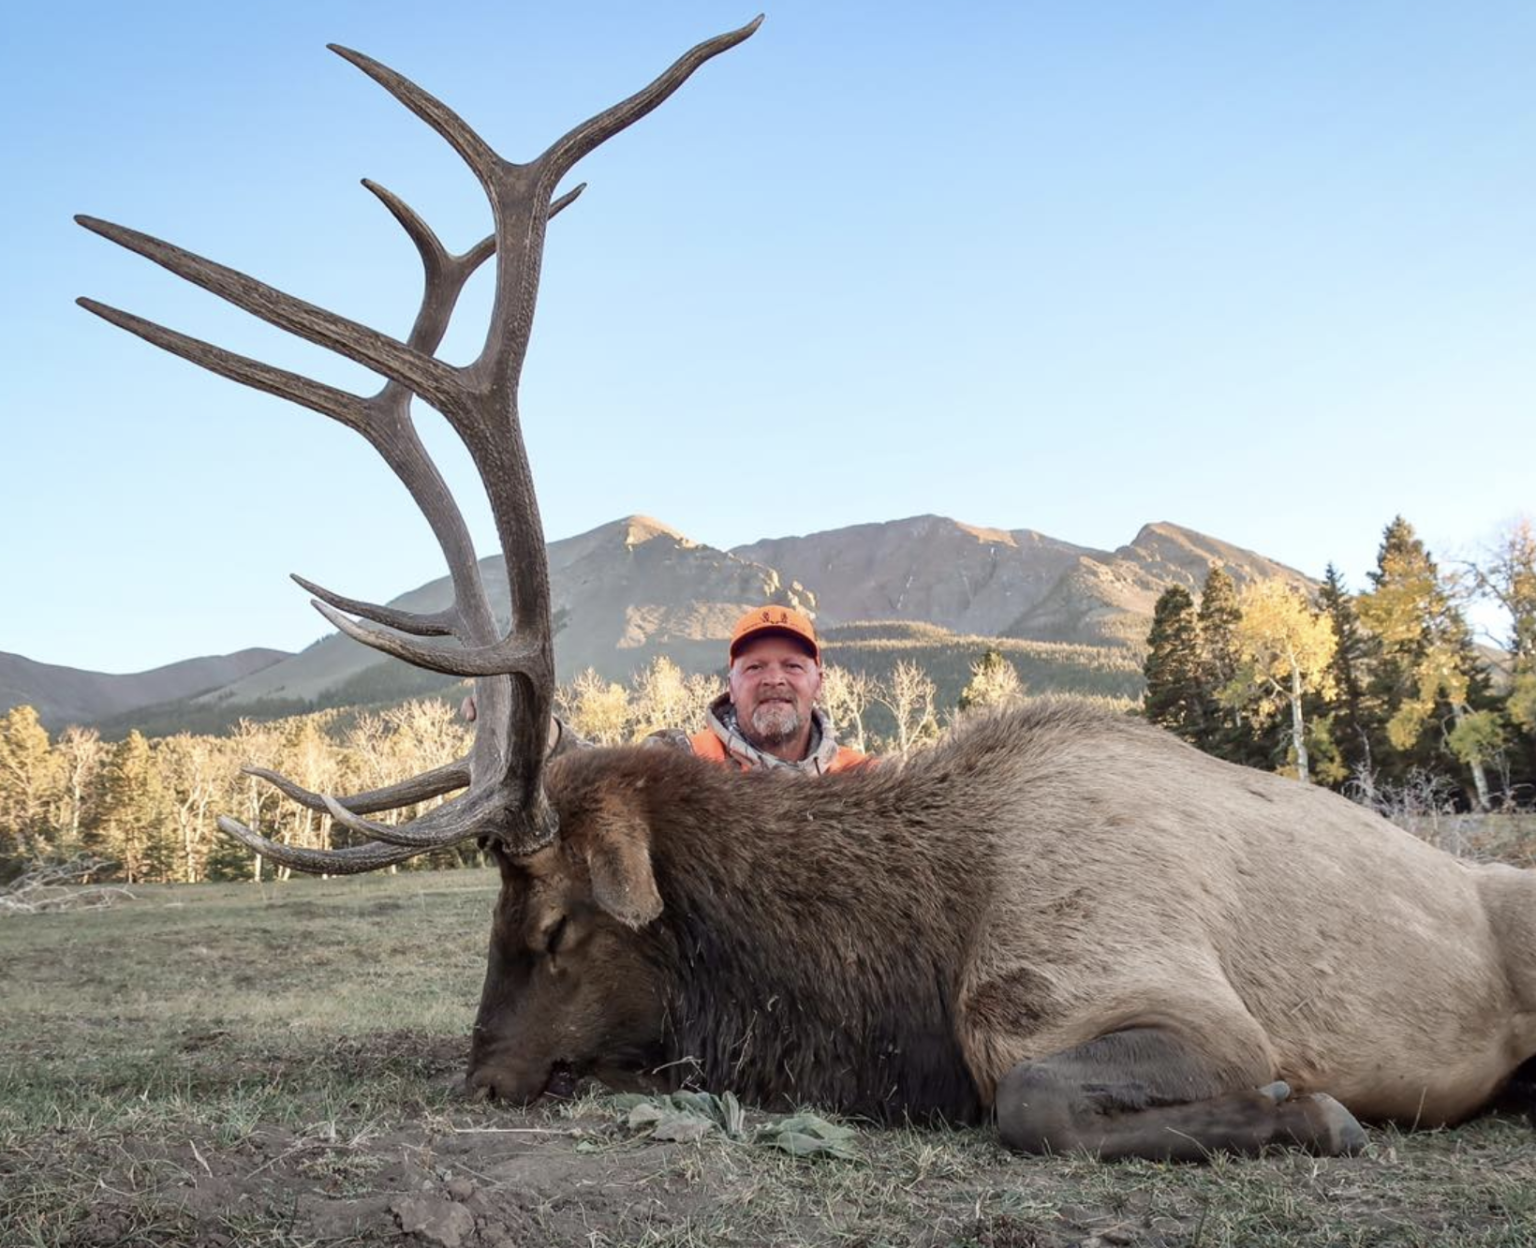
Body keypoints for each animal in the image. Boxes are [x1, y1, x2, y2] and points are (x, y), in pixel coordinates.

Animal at [77, 16, 1536, 1162]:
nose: (482, 1081)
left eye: (552, 928)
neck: (889, 973)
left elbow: (1037, 1101)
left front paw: (1322, 1111)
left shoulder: (1151, 992)